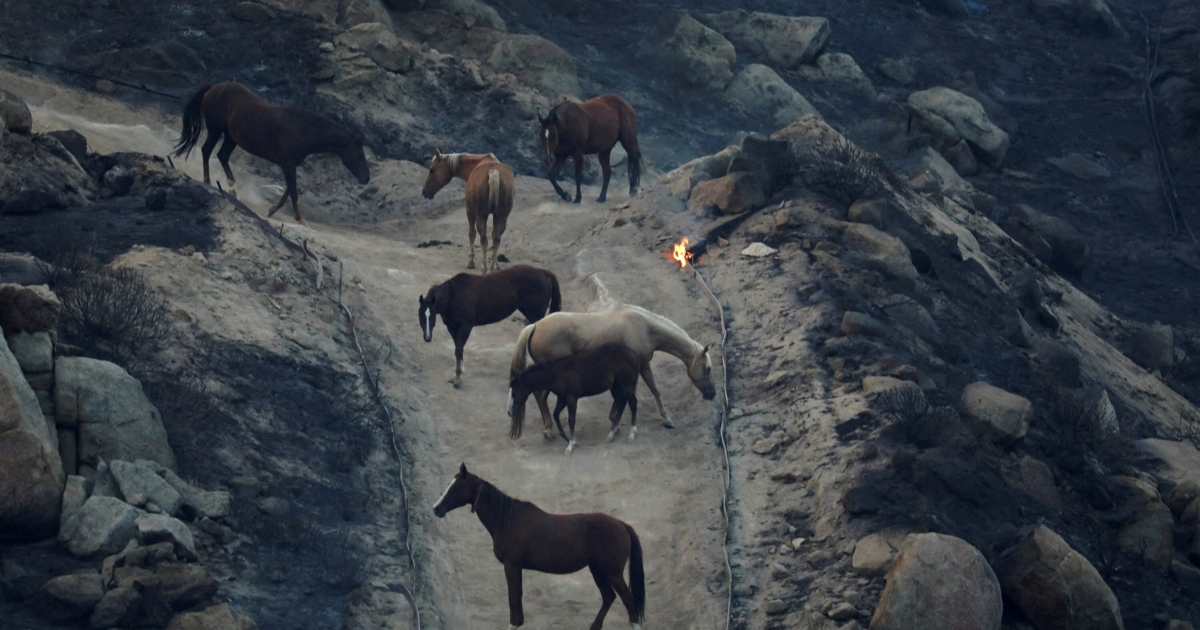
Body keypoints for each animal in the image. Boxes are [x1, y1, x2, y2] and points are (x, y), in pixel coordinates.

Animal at [173, 82, 370, 224]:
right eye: (360, 155)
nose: (366, 178)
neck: (303, 130)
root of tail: (213, 87)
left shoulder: (290, 165)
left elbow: (290, 189)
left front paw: (273, 209)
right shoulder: (288, 164)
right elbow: (294, 191)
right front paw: (299, 219)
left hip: (230, 138)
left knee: (222, 156)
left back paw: (233, 189)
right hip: (215, 130)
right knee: (206, 151)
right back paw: (208, 181)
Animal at [420, 265, 560, 387]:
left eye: (432, 316)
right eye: (421, 316)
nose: (427, 337)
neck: (453, 295)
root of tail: (542, 271)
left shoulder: (465, 326)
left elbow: (459, 349)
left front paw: (458, 379)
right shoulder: (452, 327)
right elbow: (458, 350)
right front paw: (457, 375)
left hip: (536, 316)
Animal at [433, 464, 646, 630]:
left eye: (457, 487)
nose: (436, 508)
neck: (508, 519)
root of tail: (622, 525)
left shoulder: (511, 565)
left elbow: (513, 597)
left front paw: (513, 624)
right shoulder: (516, 567)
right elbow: (517, 595)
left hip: (613, 572)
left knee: (628, 600)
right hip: (597, 569)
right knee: (609, 597)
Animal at [508, 304, 716, 437]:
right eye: (707, 368)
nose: (712, 394)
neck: (644, 326)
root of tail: (535, 325)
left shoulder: (642, 365)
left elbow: (653, 389)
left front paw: (665, 419)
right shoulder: (635, 368)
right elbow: (634, 393)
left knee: (540, 396)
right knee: (540, 396)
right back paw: (550, 430)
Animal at [510, 342, 641, 454]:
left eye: (514, 393)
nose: (510, 412)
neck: (556, 374)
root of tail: (633, 352)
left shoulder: (572, 398)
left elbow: (571, 420)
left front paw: (570, 445)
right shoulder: (562, 398)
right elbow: (556, 414)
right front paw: (568, 439)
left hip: (625, 384)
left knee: (633, 403)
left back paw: (631, 434)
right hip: (615, 386)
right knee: (621, 402)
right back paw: (611, 434)